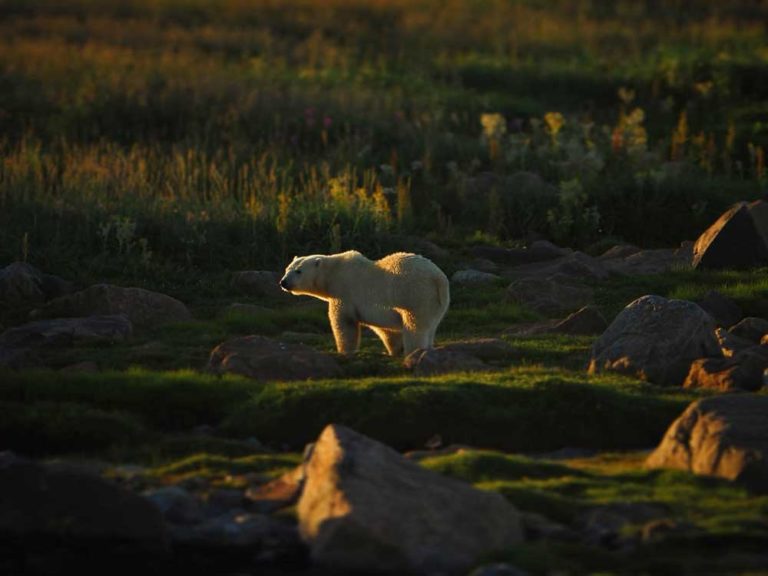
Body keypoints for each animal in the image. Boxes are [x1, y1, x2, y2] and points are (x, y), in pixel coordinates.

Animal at [279, 250, 450, 356]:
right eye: (287, 269)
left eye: (299, 271)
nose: (283, 282)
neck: (333, 273)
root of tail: (439, 278)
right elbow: (385, 329)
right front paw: (393, 350)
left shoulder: (344, 292)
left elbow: (344, 323)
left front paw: (344, 352)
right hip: (436, 302)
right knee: (430, 326)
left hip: (414, 295)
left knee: (414, 325)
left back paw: (413, 352)